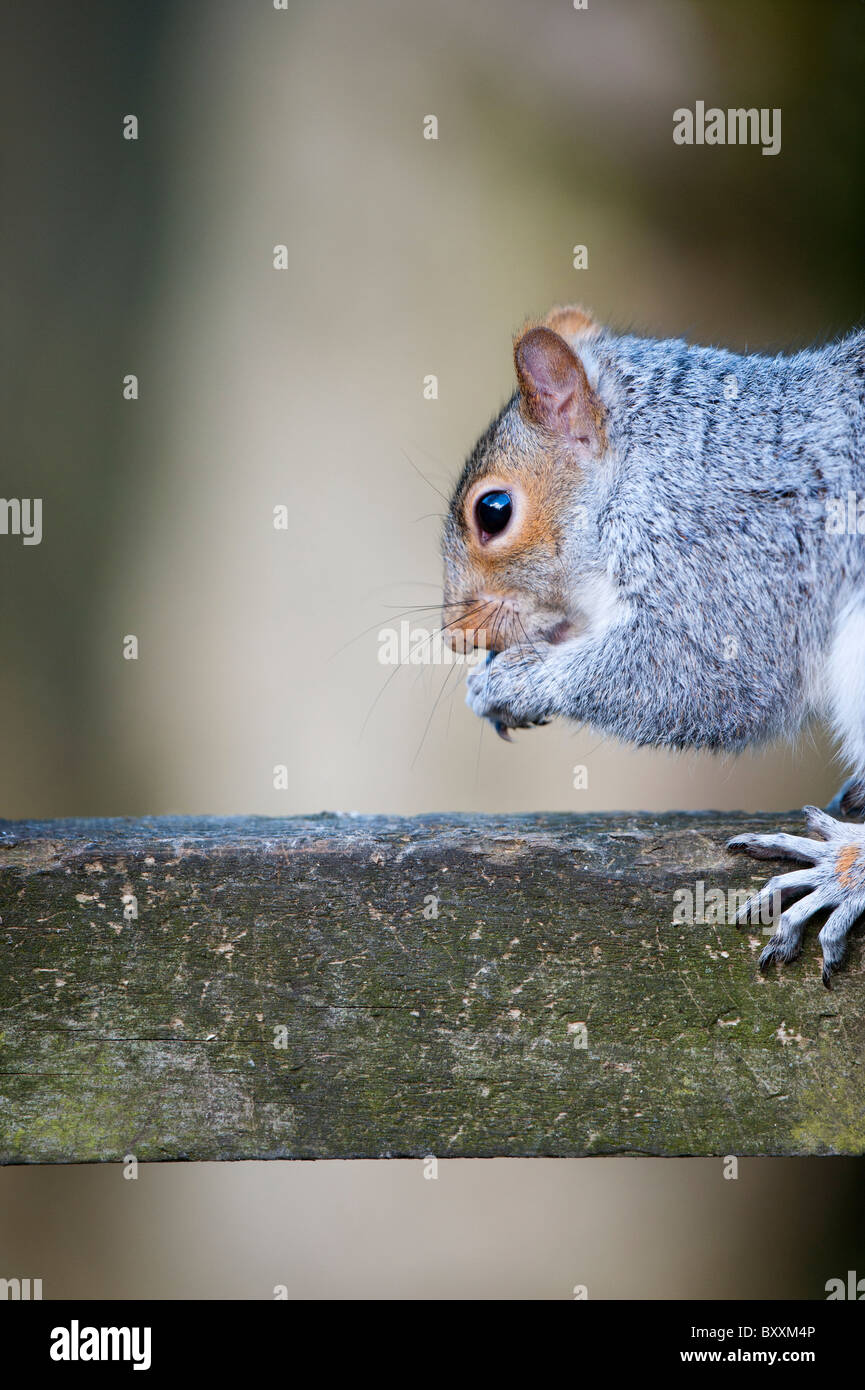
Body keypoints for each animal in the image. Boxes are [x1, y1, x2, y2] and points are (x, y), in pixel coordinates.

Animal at [441, 304, 865, 986]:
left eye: (494, 510)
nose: (458, 635)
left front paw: (508, 684)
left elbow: (706, 676)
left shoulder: (727, 552)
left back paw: (841, 872)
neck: (645, 465)